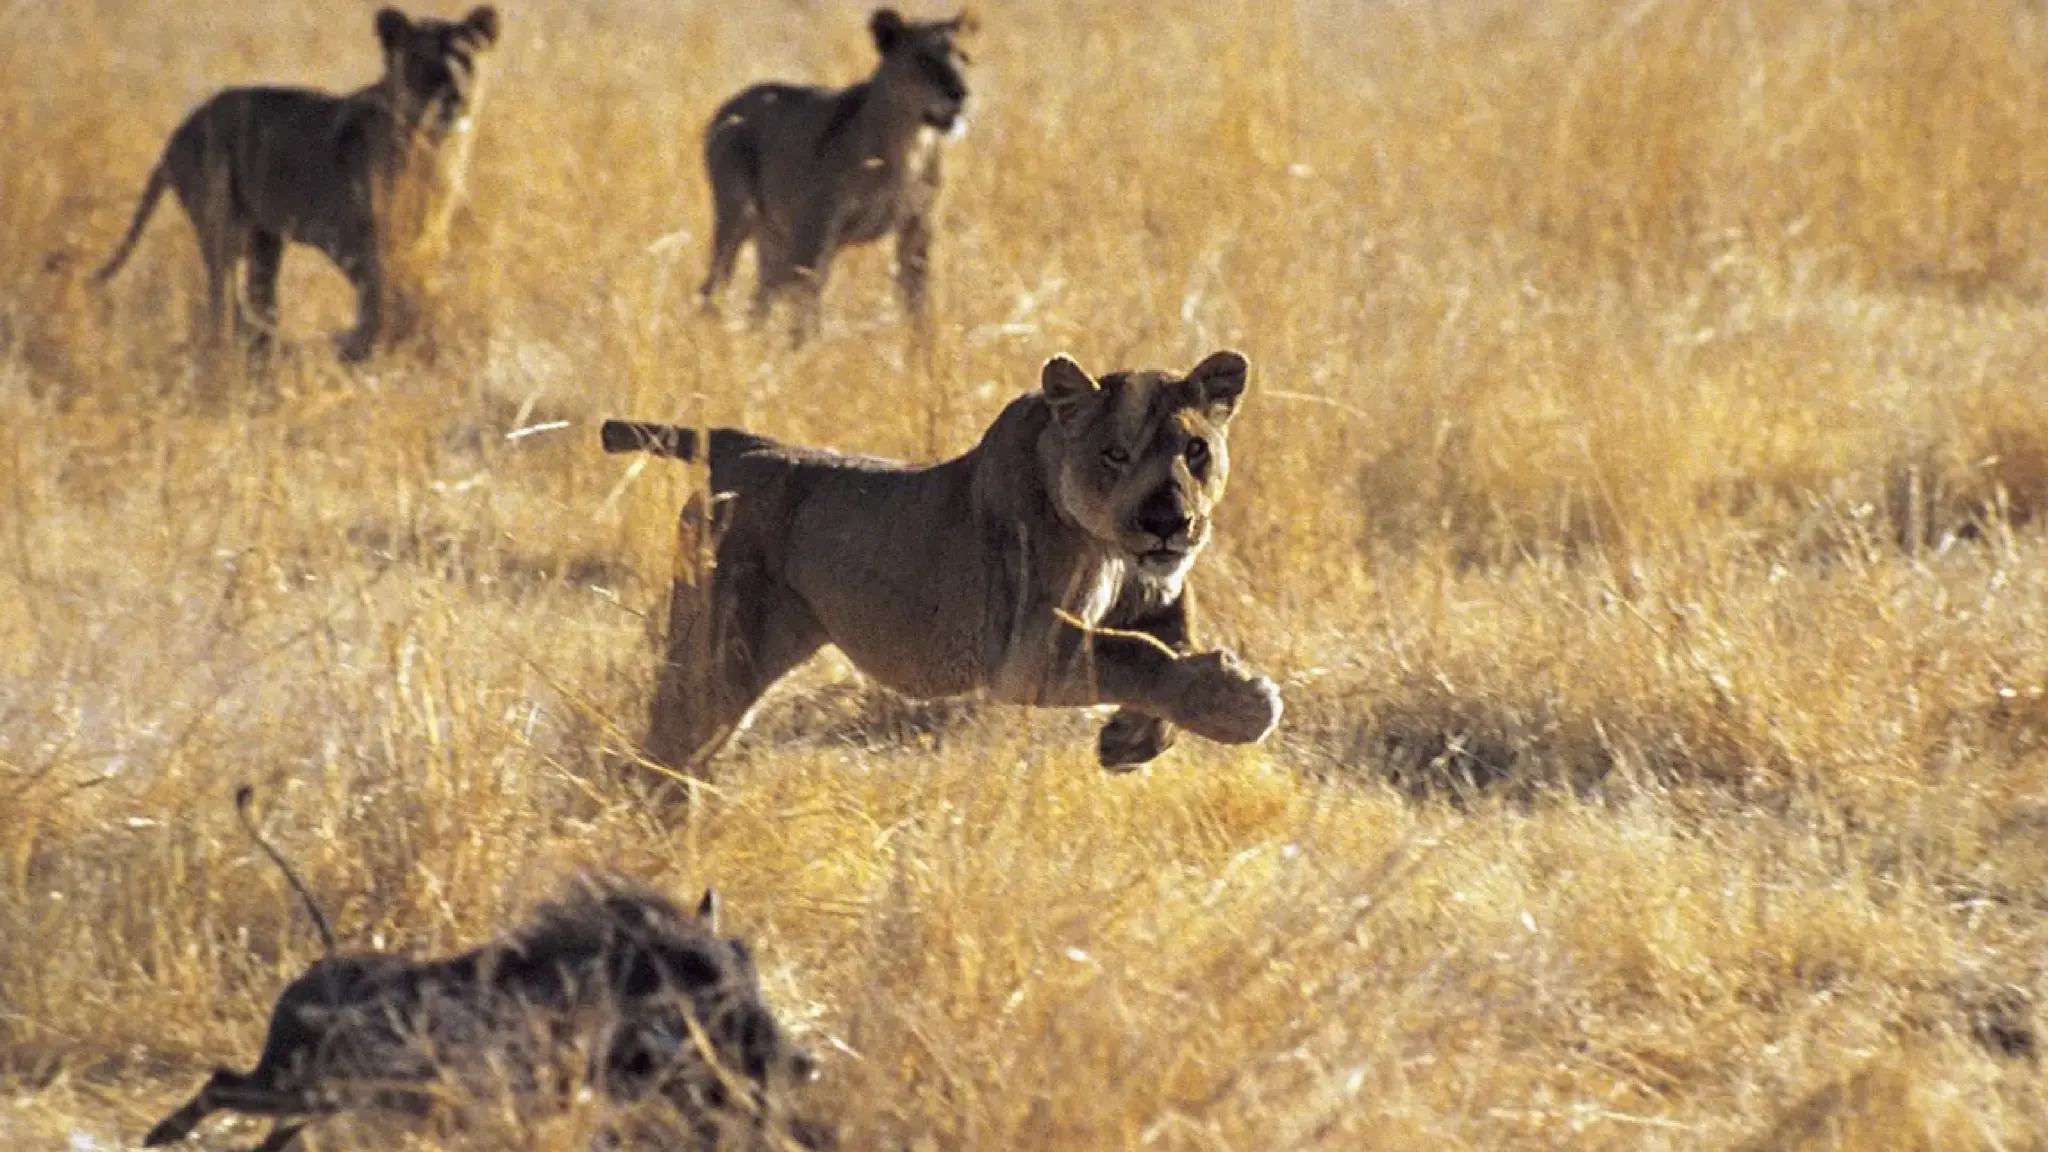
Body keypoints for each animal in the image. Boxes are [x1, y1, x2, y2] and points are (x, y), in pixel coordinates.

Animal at [92, 5, 502, 364]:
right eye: (420, 61)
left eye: (465, 60)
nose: (452, 96)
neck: (432, 146)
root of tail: (178, 131)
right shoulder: (350, 236)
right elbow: (381, 293)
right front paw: (367, 351)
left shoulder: (427, 237)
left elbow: (415, 291)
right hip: (222, 226)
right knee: (225, 302)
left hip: (265, 239)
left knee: (258, 304)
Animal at [600, 349, 1283, 773]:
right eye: (1116, 454)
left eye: (1195, 450)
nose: (1168, 523)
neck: (1107, 550)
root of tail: (740, 444)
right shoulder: (1026, 650)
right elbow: (1137, 655)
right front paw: (1244, 705)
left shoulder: (1155, 599)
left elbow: (1169, 643)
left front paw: (1130, 740)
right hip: (724, 653)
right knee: (672, 743)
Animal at [696, 7, 974, 344]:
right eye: (924, 59)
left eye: (965, 57)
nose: (960, 93)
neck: (909, 144)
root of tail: (726, 108)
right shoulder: (817, 226)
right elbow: (806, 306)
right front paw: (805, 353)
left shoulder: (917, 223)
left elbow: (917, 302)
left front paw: (923, 351)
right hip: (737, 215)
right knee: (714, 287)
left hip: (774, 232)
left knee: (761, 297)